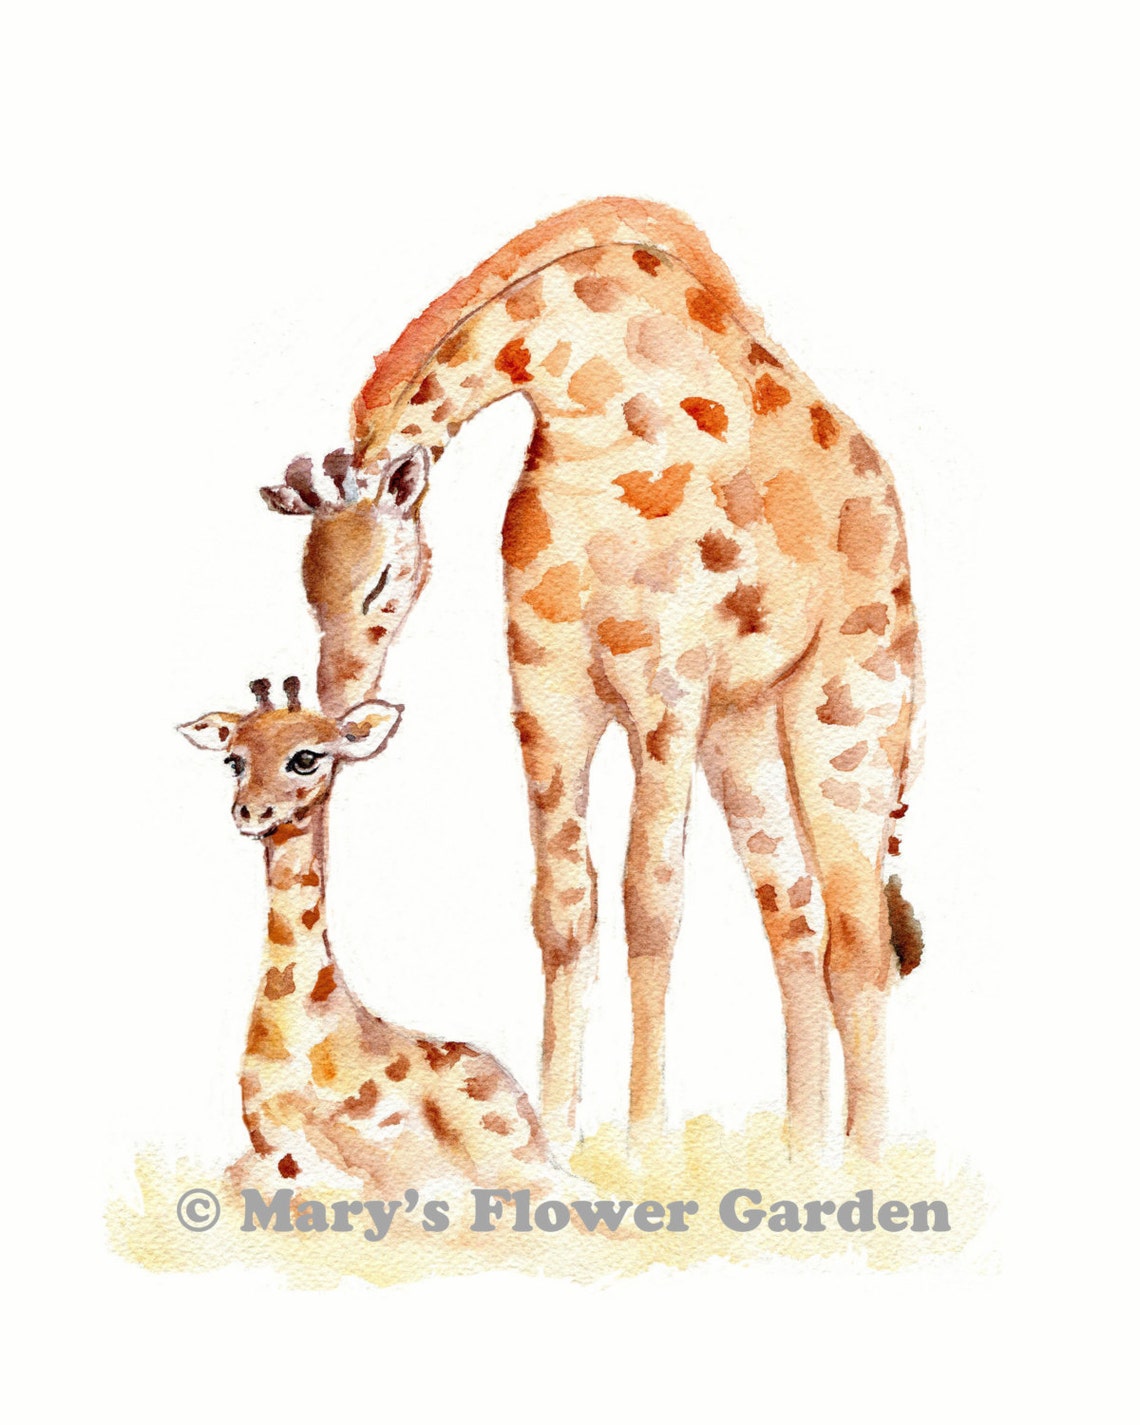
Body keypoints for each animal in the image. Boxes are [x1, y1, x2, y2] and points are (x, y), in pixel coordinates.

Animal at [179, 676, 571, 1196]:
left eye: (306, 757)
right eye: (233, 760)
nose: (250, 812)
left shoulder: (382, 1171)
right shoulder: (271, 1154)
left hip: (511, 1149)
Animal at [259, 197, 924, 1160]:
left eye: (385, 581)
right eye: (310, 589)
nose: (340, 709)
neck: (591, 395)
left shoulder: (666, 692)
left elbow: (651, 899)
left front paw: (643, 1142)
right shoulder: (549, 697)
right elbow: (565, 907)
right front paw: (555, 1134)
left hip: (851, 707)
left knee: (860, 929)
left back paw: (863, 1163)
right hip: (743, 729)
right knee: (793, 915)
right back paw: (801, 1156)